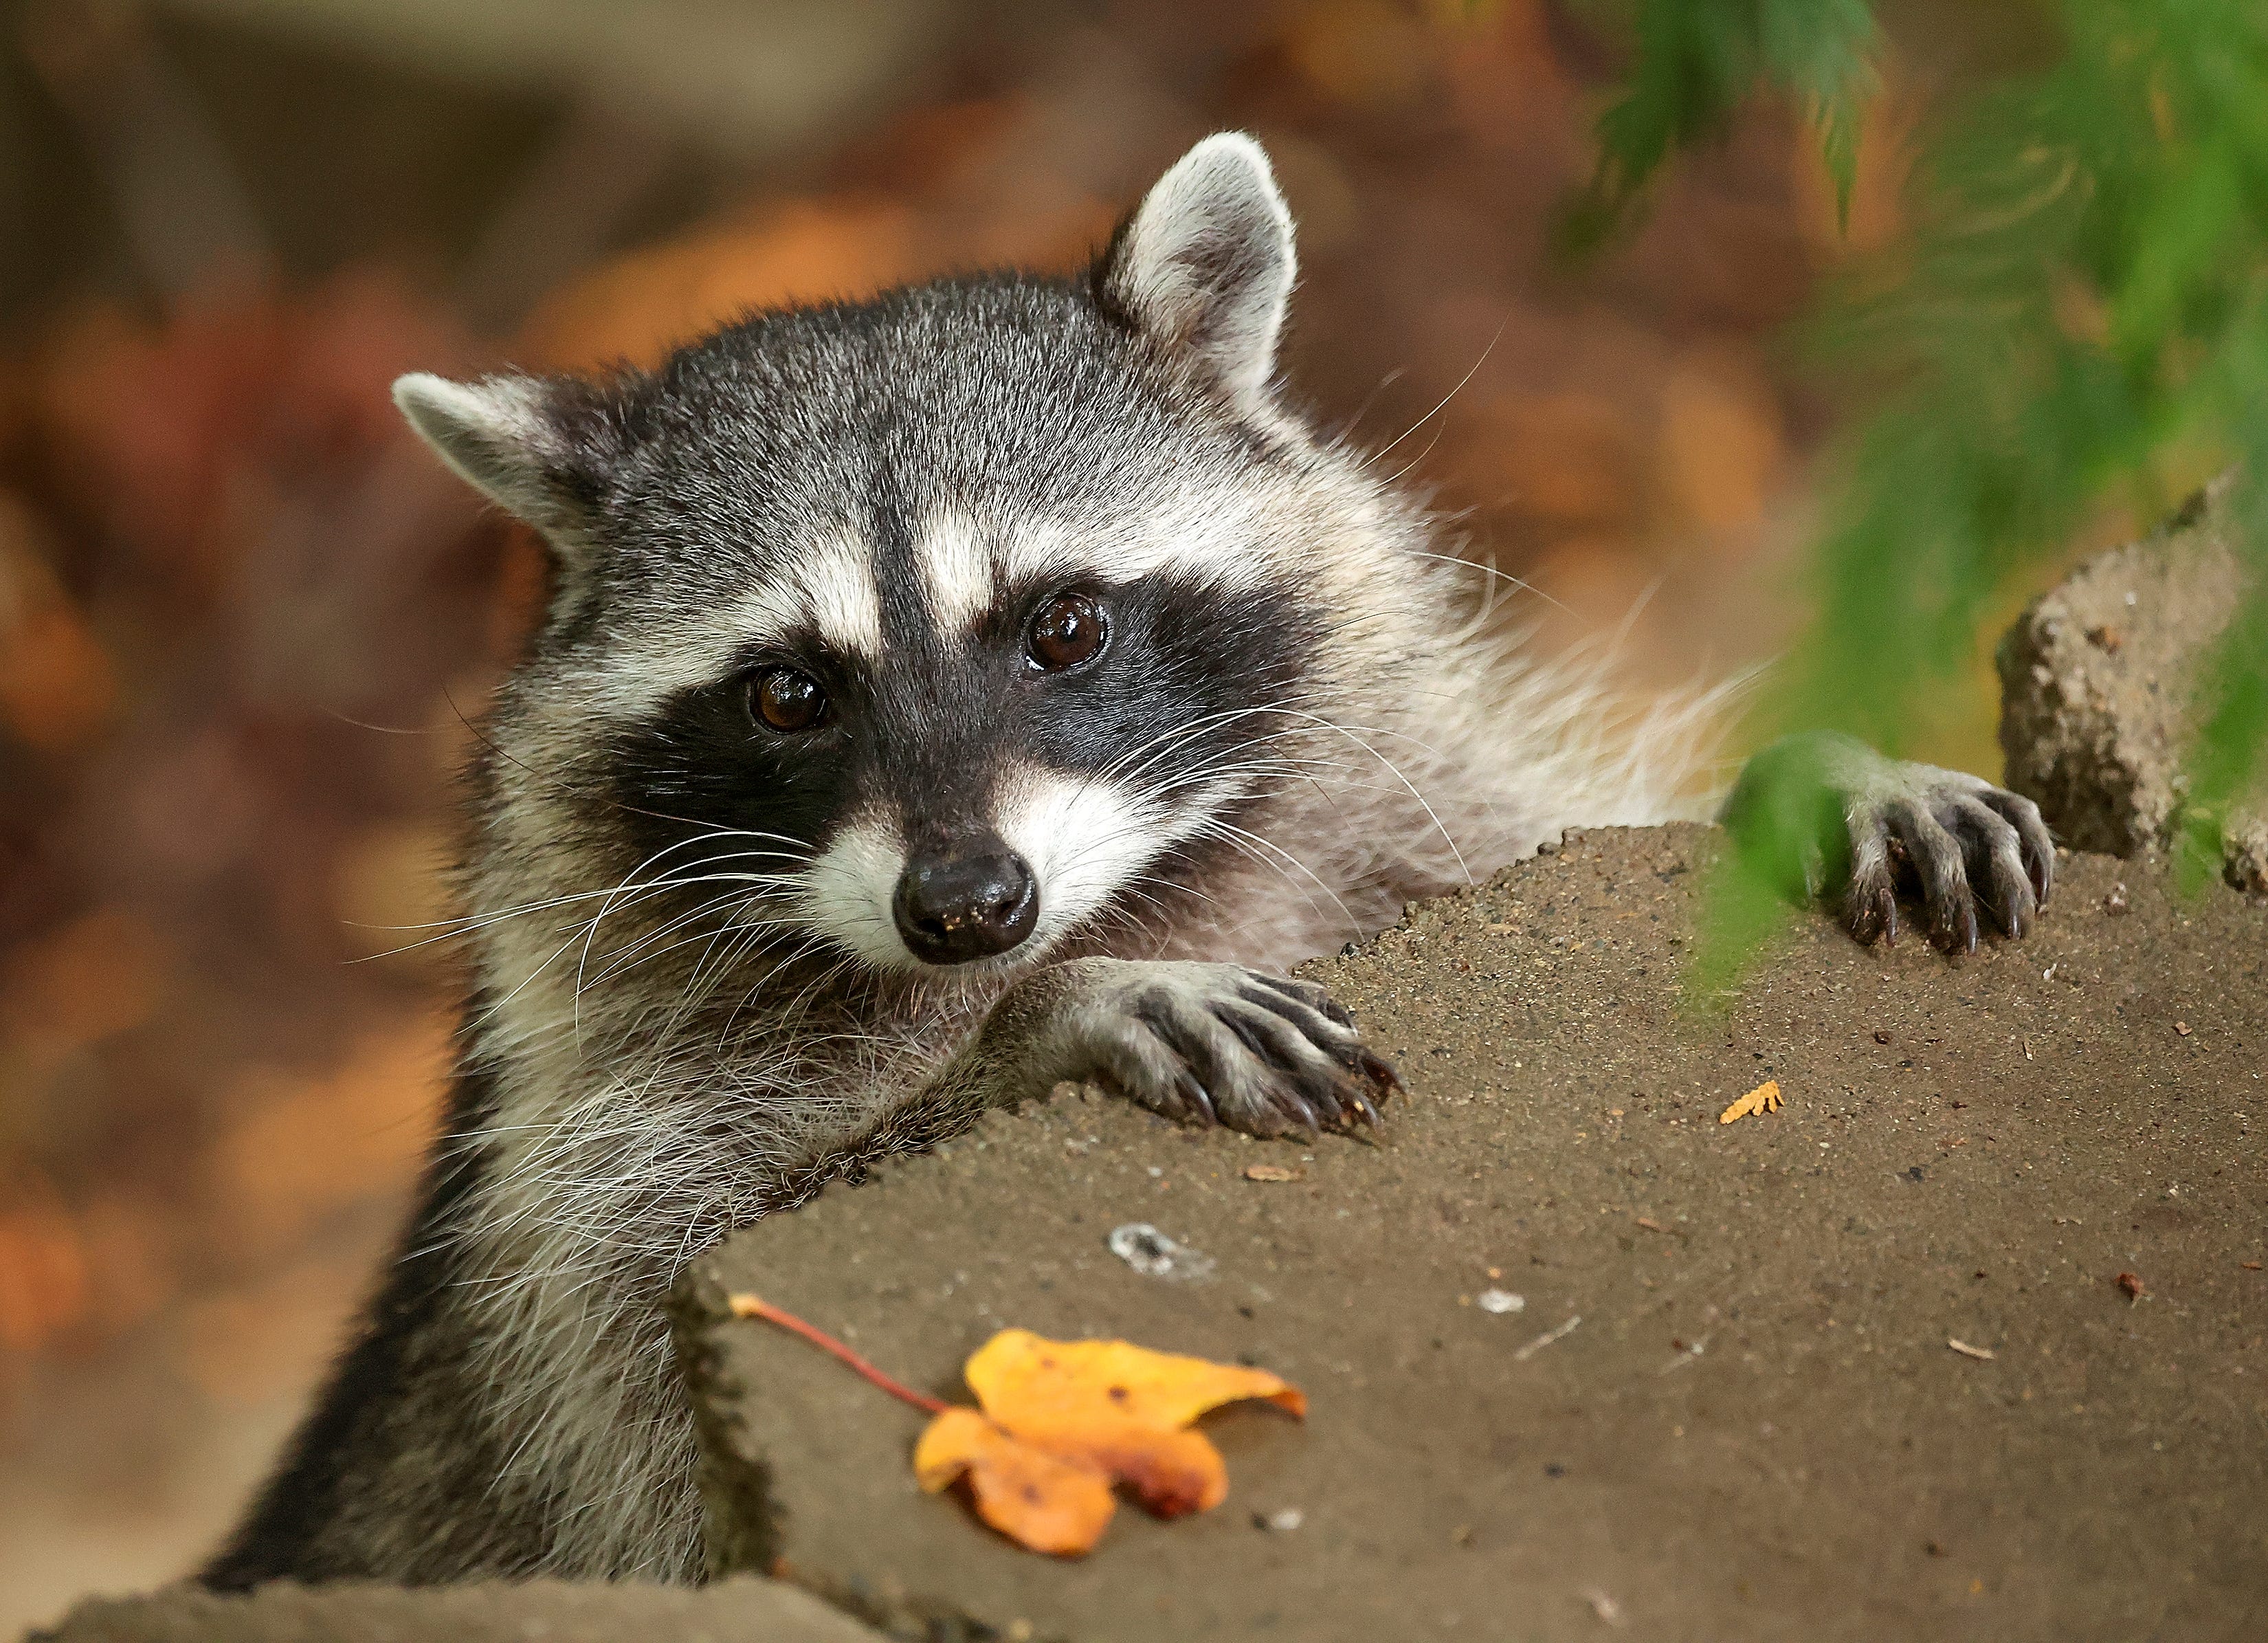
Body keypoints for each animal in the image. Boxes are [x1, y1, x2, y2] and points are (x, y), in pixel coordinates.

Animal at [202, 134, 2052, 1589]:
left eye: (1066, 627)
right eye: (789, 690)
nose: (969, 910)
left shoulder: (1373, 826)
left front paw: (1806, 778)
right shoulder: (571, 1184)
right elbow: (667, 1344)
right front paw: (1061, 1015)